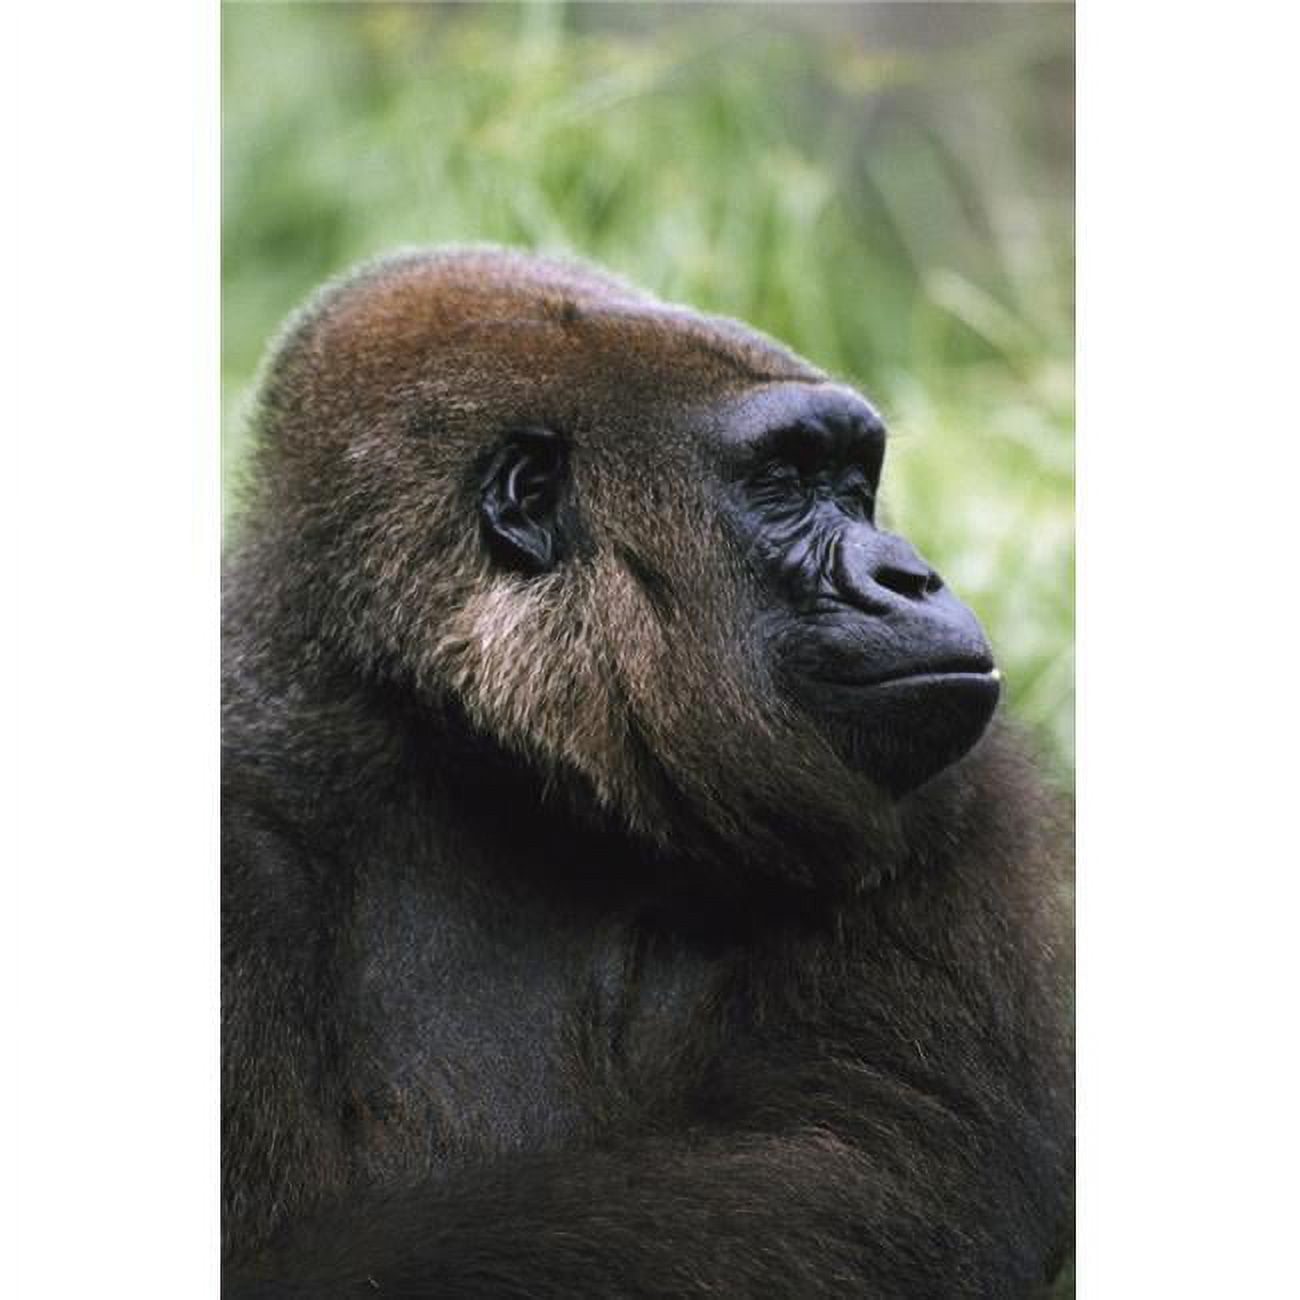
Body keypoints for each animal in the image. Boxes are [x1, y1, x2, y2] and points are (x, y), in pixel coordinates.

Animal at [221, 247, 1073, 1297]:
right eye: (784, 482)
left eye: (853, 484)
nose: (912, 576)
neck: (478, 765)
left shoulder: (958, 794)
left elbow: (882, 1167)